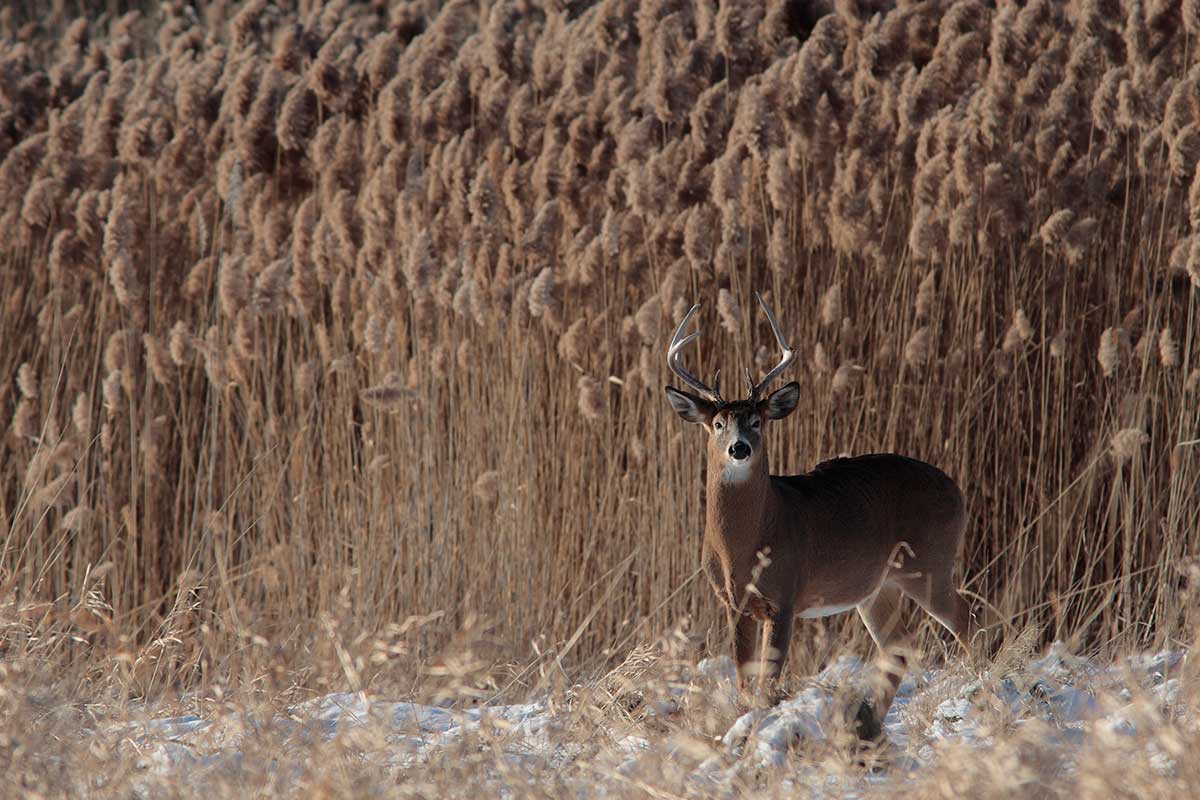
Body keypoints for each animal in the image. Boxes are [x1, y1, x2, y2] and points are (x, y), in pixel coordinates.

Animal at [663, 293, 973, 735]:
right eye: (718, 423)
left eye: (757, 420)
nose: (739, 448)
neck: (743, 546)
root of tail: (957, 489)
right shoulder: (733, 602)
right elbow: (743, 680)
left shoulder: (785, 596)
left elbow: (766, 684)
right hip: (878, 587)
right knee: (898, 648)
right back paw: (868, 724)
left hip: (930, 563)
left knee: (967, 623)